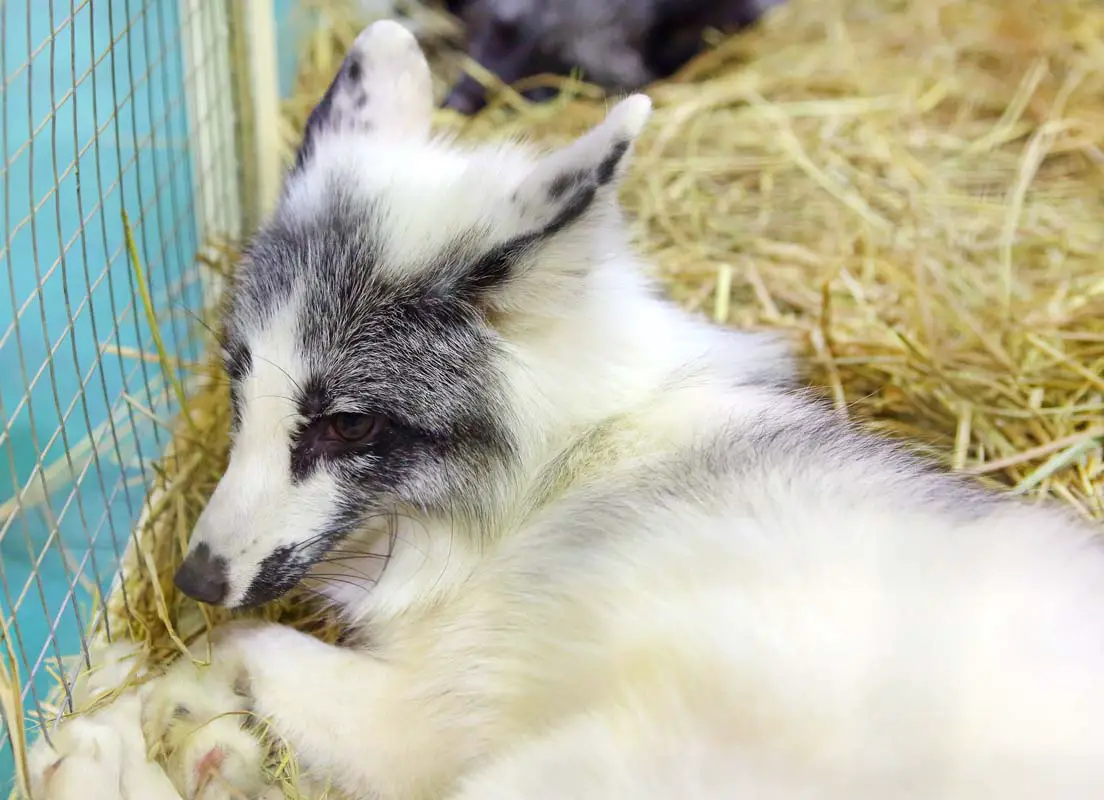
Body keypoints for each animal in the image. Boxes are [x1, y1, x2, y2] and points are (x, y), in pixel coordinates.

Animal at [27, 18, 1104, 800]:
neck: (562, 469)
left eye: (347, 423)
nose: (195, 577)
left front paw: (158, 709)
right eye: (239, 379)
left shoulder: (419, 719)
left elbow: (242, 643)